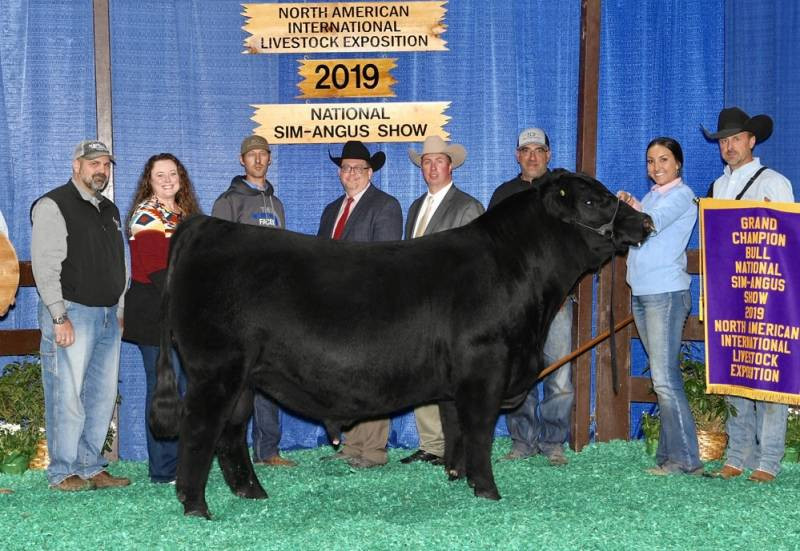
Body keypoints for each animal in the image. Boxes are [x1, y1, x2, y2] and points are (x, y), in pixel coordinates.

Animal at [150, 169, 652, 518]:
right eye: (592, 200)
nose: (645, 219)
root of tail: (206, 226)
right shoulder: (486, 369)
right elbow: (479, 432)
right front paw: (487, 491)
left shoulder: (458, 381)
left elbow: (455, 429)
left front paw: (456, 477)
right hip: (215, 370)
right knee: (200, 430)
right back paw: (196, 506)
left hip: (243, 378)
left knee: (231, 434)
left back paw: (252, 493)